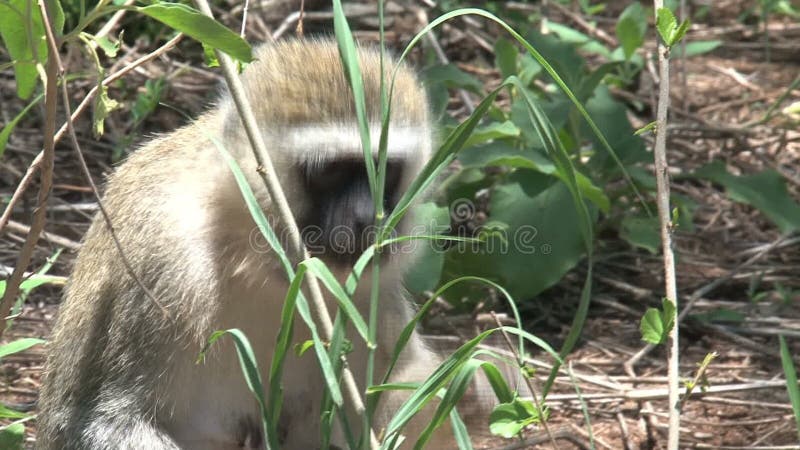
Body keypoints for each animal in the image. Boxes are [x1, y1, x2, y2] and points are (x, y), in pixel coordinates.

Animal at [36, 39, 489, 449]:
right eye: (330, 171)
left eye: (385, 172)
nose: (367, 217)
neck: (251, 254)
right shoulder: (162, 261)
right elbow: (104, 420)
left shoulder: (368, 295)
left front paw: (463, 389)